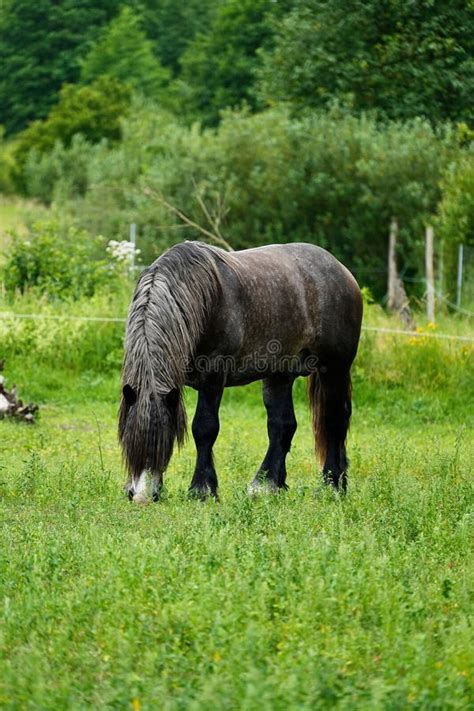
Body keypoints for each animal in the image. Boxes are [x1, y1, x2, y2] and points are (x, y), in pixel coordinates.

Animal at [119, 241, 362, 502]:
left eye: (162, 443)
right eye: (130, 441)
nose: (142, 496)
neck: (202, 297)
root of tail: (341, 270)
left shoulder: (213, 375)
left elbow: (204, 428)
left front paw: (202, 489)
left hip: (334, 368)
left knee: (334, 421)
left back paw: (332, 486)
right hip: (280, 374)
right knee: (282, 425)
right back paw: (266, 485)